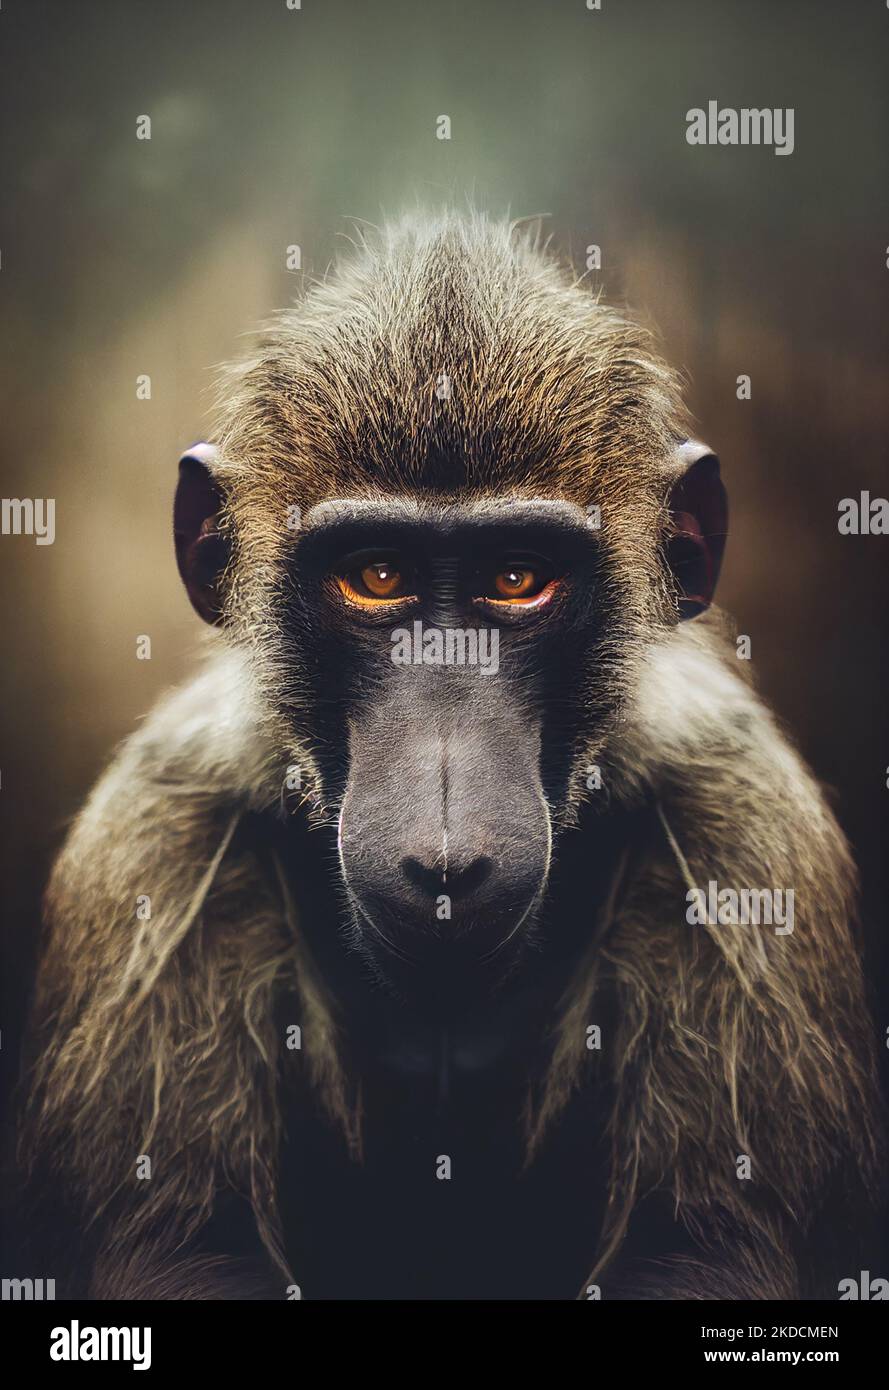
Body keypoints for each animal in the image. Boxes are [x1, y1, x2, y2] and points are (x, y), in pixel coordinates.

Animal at [16, 212, 883, 1300]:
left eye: (516, 579)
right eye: (377, 577)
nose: (441, 786)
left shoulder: (746, 837)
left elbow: (703, 1246)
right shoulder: (155, 850)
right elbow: (186, 1247)